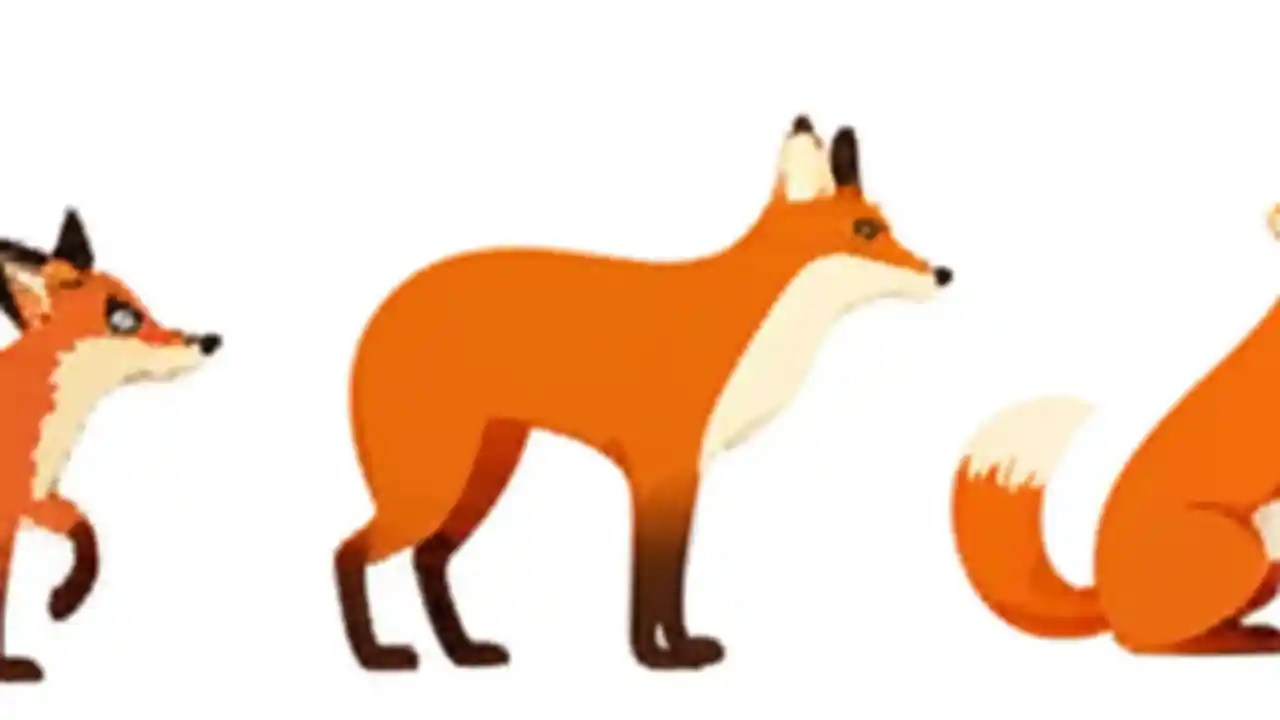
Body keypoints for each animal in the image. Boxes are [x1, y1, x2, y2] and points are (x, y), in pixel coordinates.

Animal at [336, 114, 954, 671]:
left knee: (428, 557)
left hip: (482, 473)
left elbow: (666, 580)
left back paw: (463, 652)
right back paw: (377, 656)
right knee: (349, 553)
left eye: (886, 223)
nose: (942, 274)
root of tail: (382, 311)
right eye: (865, 231)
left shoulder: (681, 475)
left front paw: (672, 648)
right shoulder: (662, 469)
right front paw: (661, 658)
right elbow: (652, 579)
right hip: (433, 481)